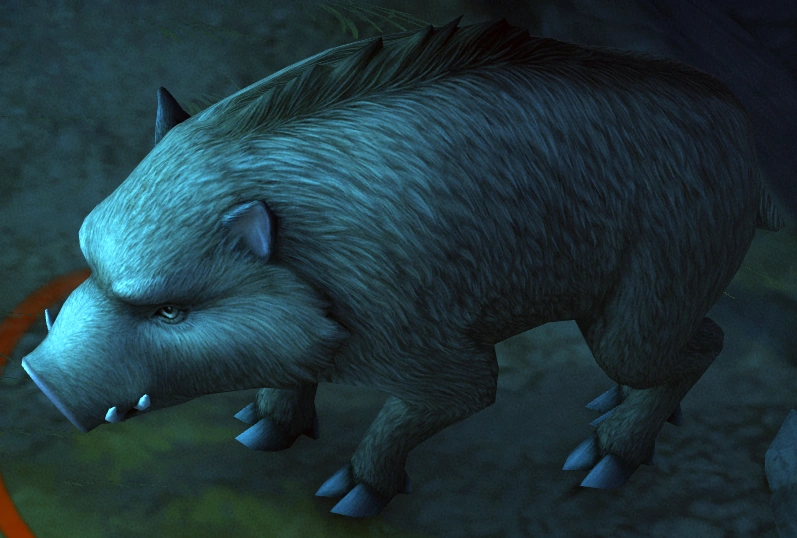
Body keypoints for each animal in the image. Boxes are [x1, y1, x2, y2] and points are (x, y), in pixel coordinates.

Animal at [21, 16, 785, 518]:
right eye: (87, 262)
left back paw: (598, 465)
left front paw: (349, 500)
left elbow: (437, 406)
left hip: (652, 288)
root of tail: (749, 142)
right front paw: (256, 433)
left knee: (698, 344)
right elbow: (288, 380)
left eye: (170, 310)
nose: (38, 379)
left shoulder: (435, 347)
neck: (317, 265)